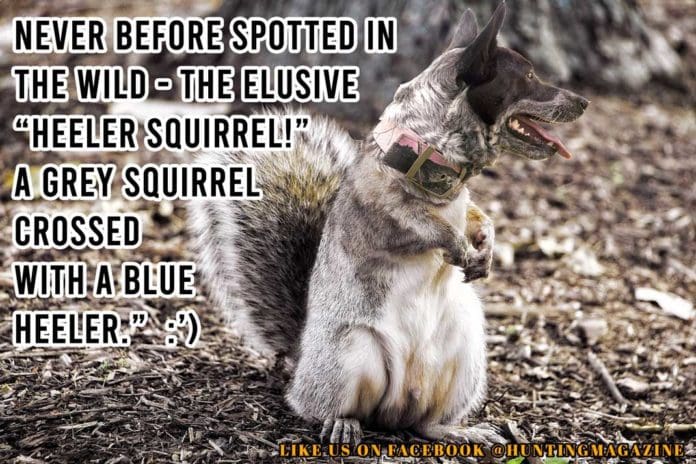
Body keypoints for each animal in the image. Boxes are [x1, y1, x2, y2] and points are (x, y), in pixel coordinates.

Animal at [188, 2, 588, 445]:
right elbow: (418, 224)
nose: (583, 102)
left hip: (466, 356)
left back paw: (461, 431)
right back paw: (341, 423)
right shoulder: (378, 212)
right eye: (529, 76)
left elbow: (475, 214)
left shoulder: (463, 201)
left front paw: (486, 245)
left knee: (426, 424)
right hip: (349, 356)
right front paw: (458, 244)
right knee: (322, 408)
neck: (435, 159)